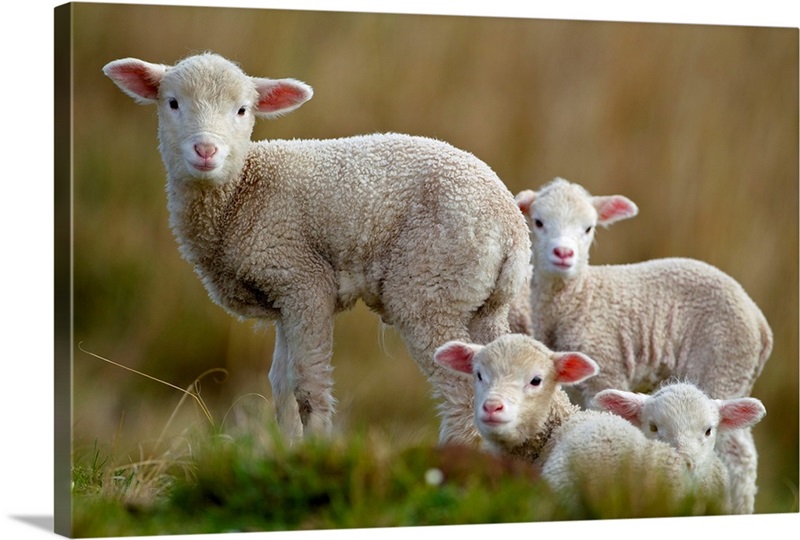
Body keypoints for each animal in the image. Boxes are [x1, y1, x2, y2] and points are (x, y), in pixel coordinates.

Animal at [102, 52, 531, 444]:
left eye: (242, 110)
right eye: (173, 103)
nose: (206, 151)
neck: (240, 195)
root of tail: (511, 225)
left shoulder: (303, 279)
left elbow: (308, 388)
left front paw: (317, 450)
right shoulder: (283, 299)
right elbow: (280, 386)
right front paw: (288, 450)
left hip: (430, 284)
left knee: (459, 394)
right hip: (480, 301)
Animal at [514, 177, 772, 513]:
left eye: (588, 228)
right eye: (539, 222)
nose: (563, 254)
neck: (581, 297)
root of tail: (759, 321)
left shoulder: (606, 367)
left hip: (725, 365)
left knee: (739, 455)